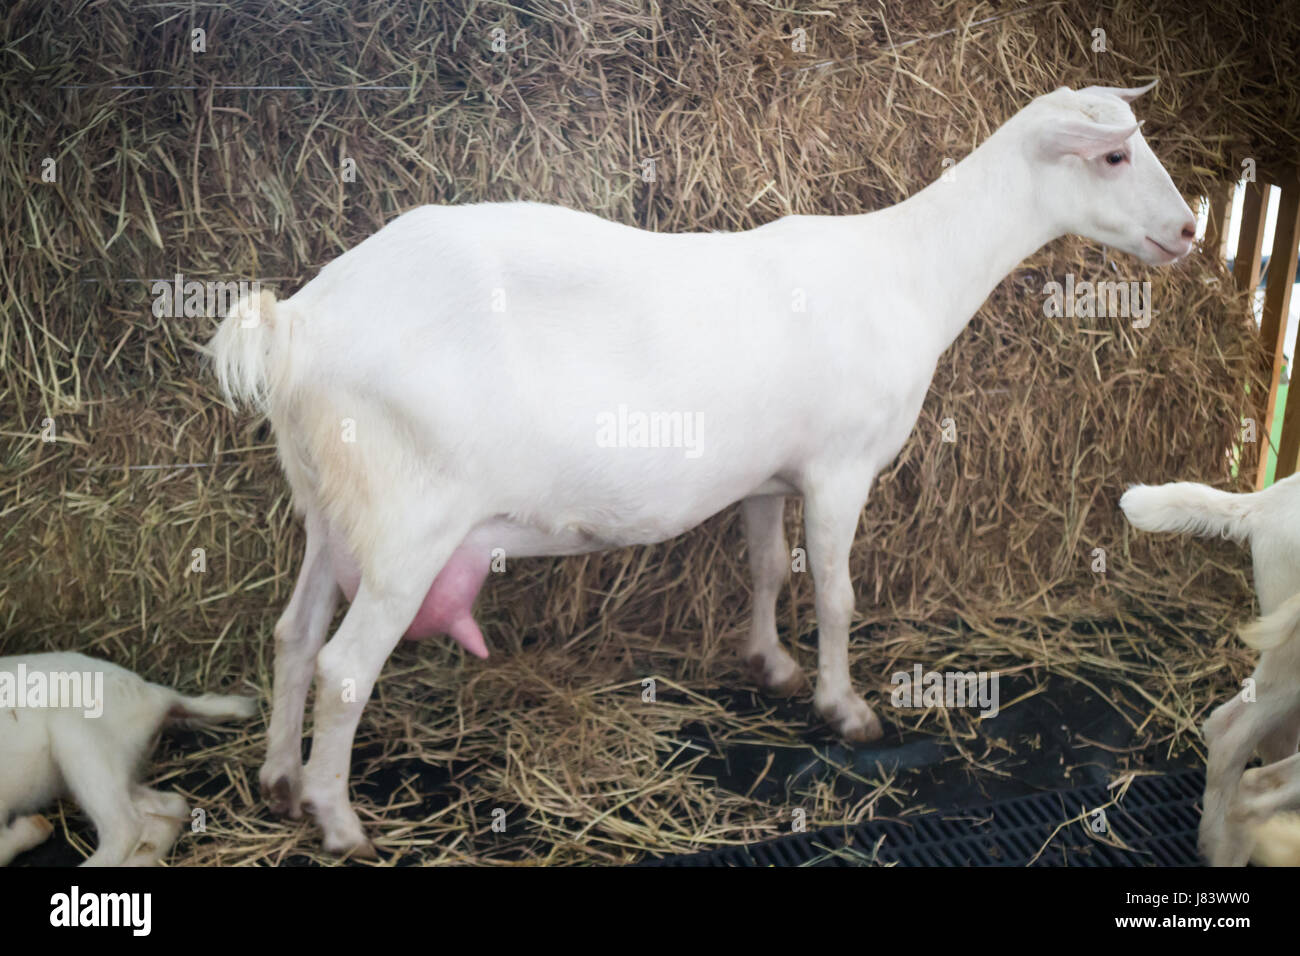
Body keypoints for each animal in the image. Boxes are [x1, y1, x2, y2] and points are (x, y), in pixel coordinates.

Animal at [211, 82, 1196, 857]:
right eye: (1114, 155)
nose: (1188, 229)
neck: (911, 271)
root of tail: (296, 326)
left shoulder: (767, 478)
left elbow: (765, 569)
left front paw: (771, 666)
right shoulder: (839, 469)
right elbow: (837, 594)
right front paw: (845, 710)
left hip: (330, 508)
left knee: (293, 635)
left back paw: (279, 781)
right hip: (409, 524)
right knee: (343, 665)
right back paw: (339, 821)